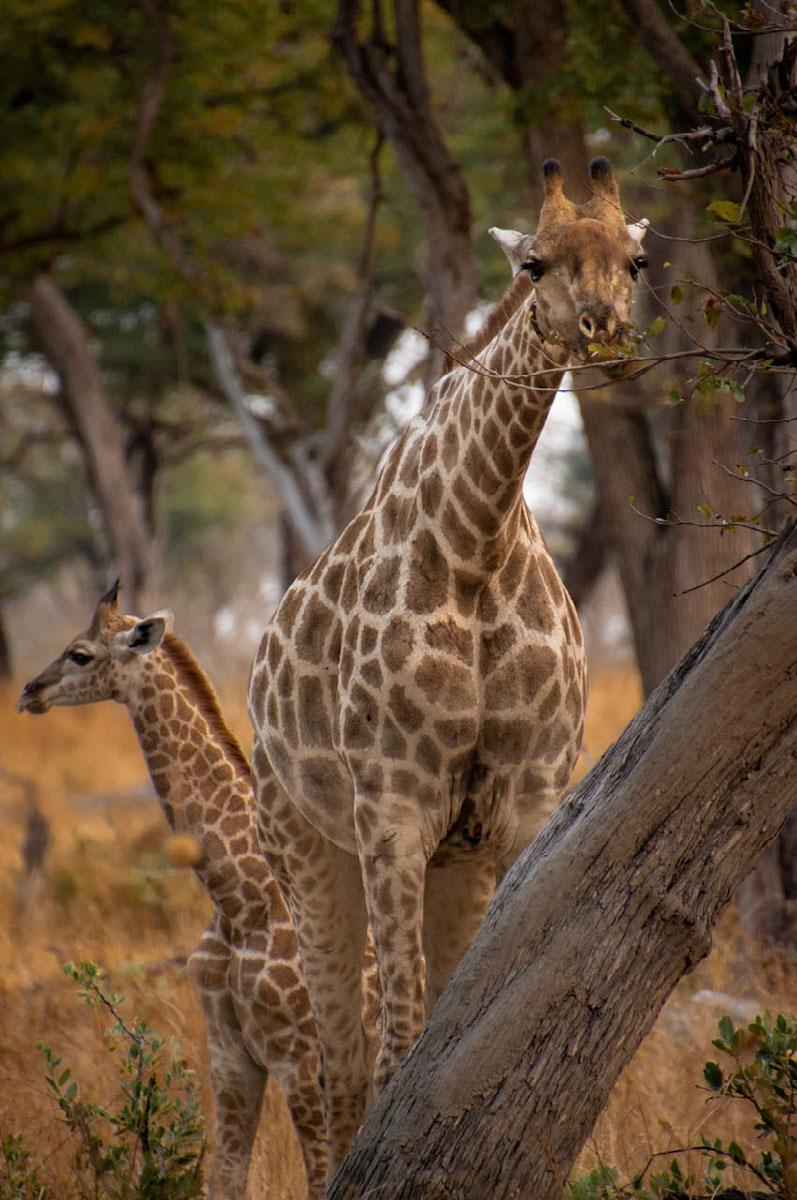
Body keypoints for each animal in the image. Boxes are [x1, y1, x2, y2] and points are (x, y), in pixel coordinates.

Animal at [18, 583, 333, 1200]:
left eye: (80, 654)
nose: (28, 692)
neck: (239, 898)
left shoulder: (304, 1058)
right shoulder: (232, 1054)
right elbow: (225, 1179)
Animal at [247, 157, 649, 1174]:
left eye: (636, 259)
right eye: (534, 264)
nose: (607, 332)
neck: (475, 543)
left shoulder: (523, 802)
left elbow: (484, 1029)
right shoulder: (392, 808)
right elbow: (400, 1046)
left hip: (448, 862)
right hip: (306, 842)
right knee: (339, 1060)